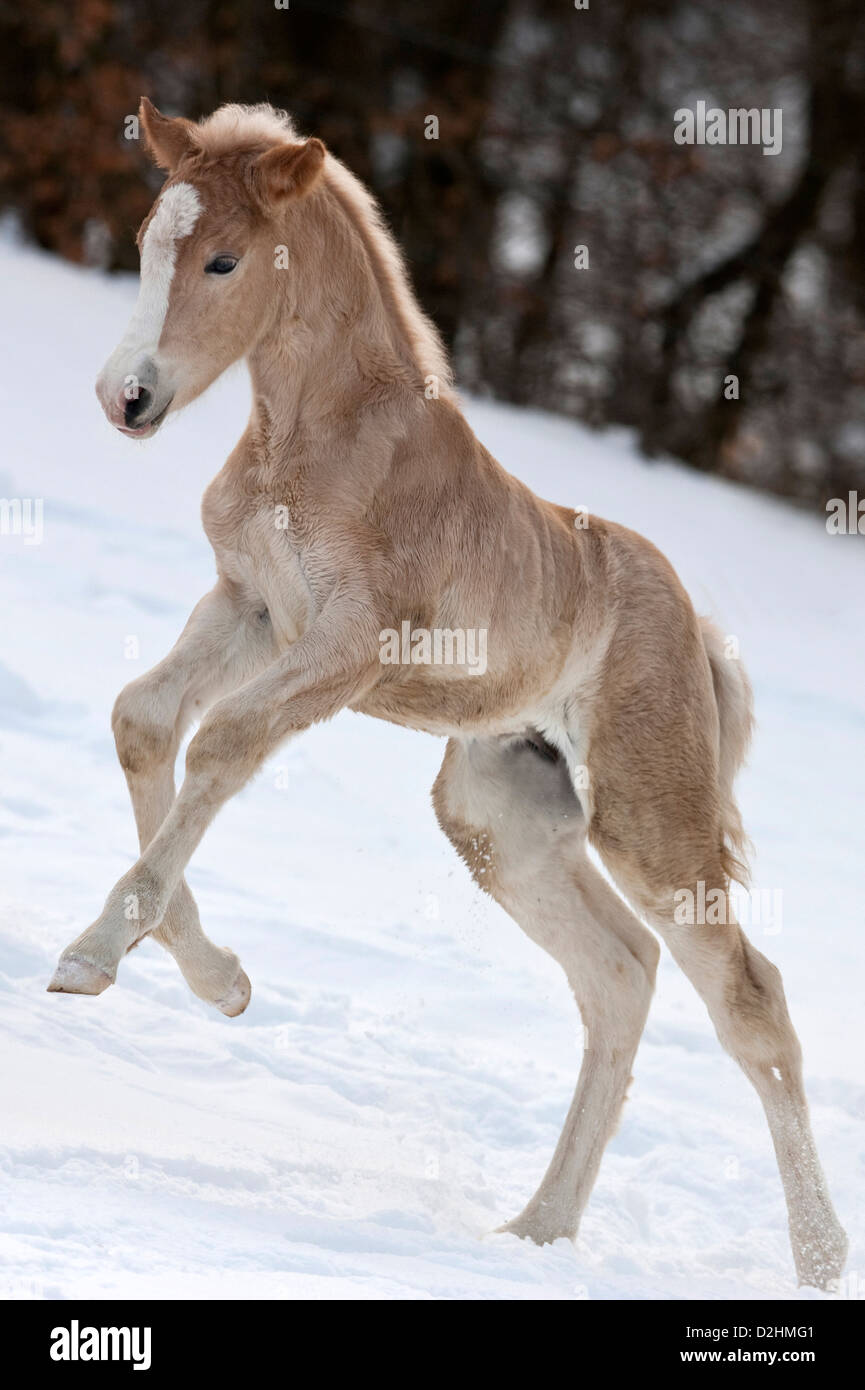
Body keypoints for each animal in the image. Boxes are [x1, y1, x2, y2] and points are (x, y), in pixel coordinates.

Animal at [48, 98, 846, 1287]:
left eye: (225, 259)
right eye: (149, 241)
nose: (126, 397)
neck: (318, 441)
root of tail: (699, 635)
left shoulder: (347, 647)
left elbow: (224, 743)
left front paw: (95, 957)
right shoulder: (249, 607)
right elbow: (146, 720)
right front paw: (221, 980)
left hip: (649, 818)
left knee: (749, 998)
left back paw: (821, 1259)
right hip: (496, 819)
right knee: (619, 973)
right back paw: (537, 1228)